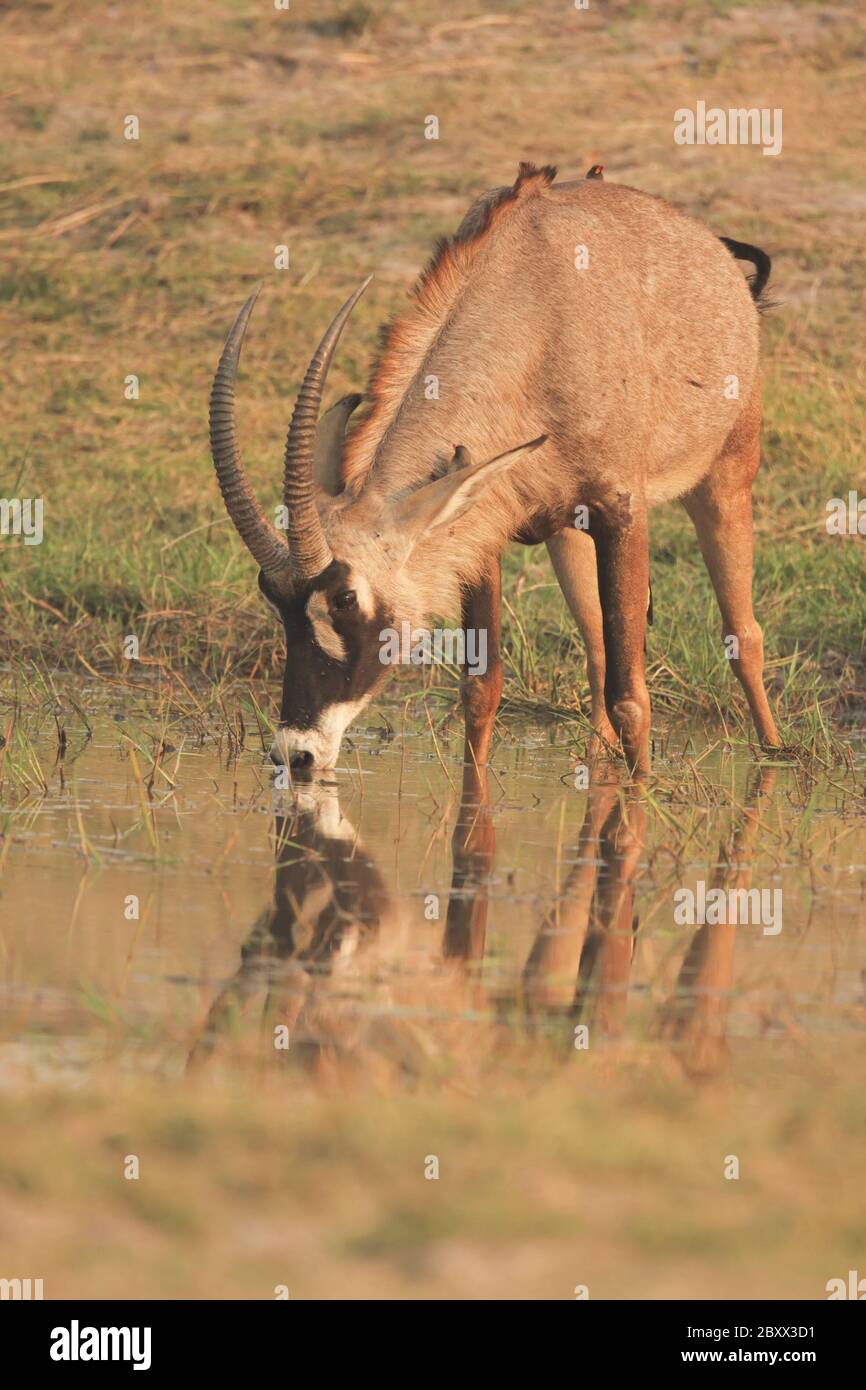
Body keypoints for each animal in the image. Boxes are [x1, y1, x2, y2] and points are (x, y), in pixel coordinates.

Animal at [208, 162, 781, 774]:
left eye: (342, 598)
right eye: (271, 594)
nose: (296, 752)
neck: (538, 312)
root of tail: (714, 252)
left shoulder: (622, 513)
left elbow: (632, 699)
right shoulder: (479, 528)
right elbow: (481, 690)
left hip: (725, 477)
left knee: (743, 635)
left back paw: (776, 755)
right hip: (566, 532)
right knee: (598, 648)